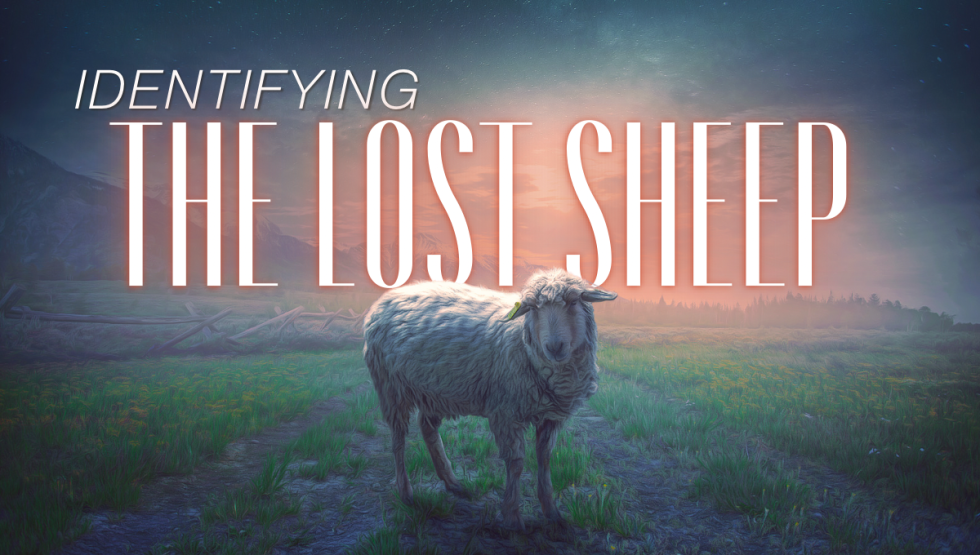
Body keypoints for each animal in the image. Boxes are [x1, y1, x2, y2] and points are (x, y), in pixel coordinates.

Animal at [362, 268, 617, 530]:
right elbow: (516, 463)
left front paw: (552, 512)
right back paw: (406, 492)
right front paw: (512, 517)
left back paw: (452, 482)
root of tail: (387, 298)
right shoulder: (506, 412)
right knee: (398, 439)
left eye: (574, 301)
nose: (554, 346)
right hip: (391, 387)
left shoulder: (551, 416)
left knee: (427, 428)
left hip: (434, 390)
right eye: (533, 308)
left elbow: (545, 459)